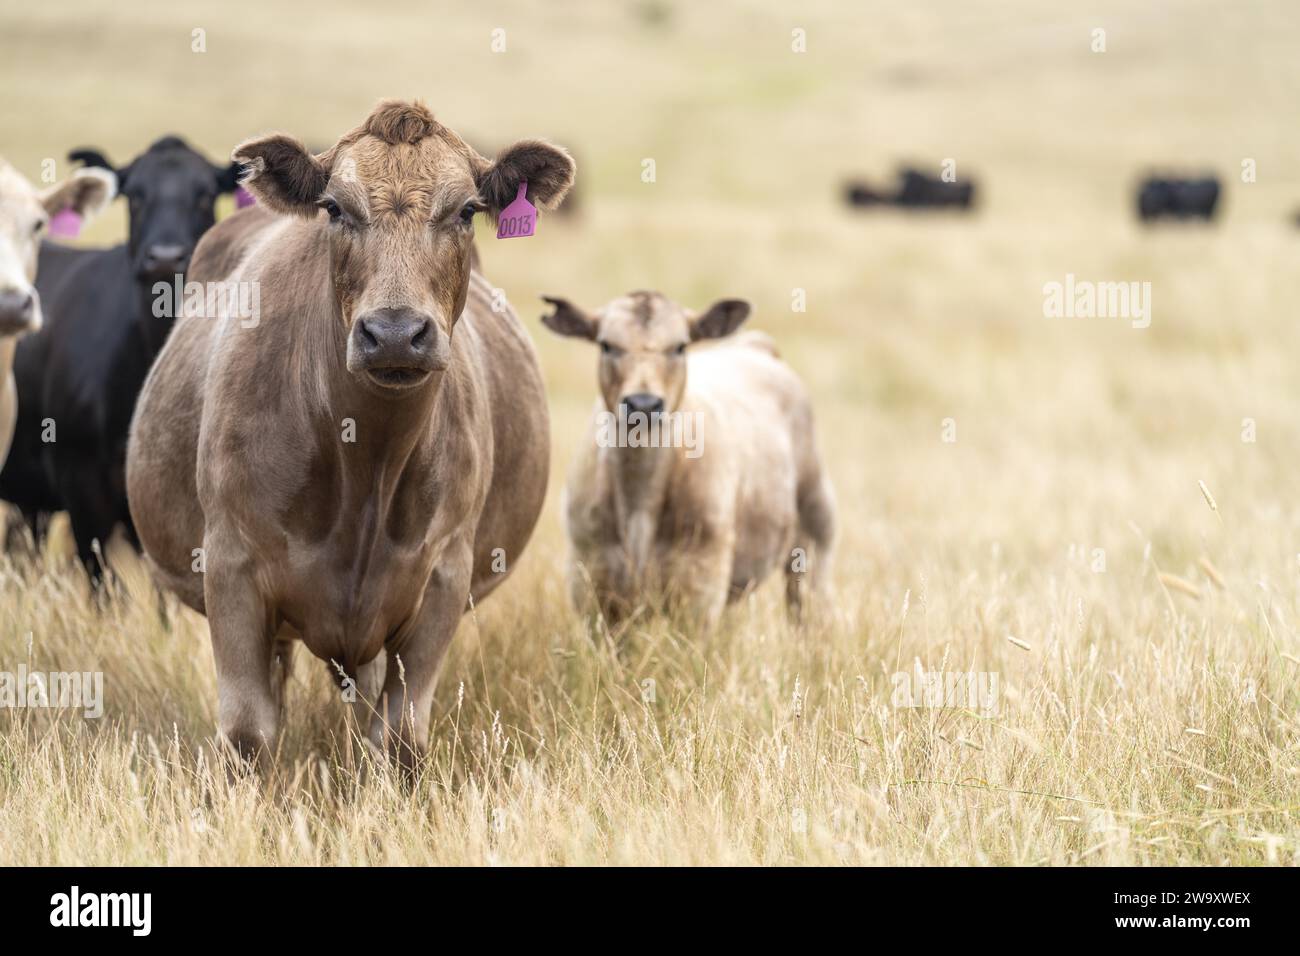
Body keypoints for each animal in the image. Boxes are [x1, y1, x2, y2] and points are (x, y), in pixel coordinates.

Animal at [126, 100, 574, 771]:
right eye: (335, 208)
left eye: (467, 210)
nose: (394, 333)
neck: (367, 467)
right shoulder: (230, 567)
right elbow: (249, 733)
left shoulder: (444, 575)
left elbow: (399, 735)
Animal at [540, 290, 836, 629]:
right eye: (606, 345)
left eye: (679, 346)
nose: (643, 404)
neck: (640, 501)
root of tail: (756, 345)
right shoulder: (591, 578)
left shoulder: (699, 584)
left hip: (815, 528)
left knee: (808, 604)